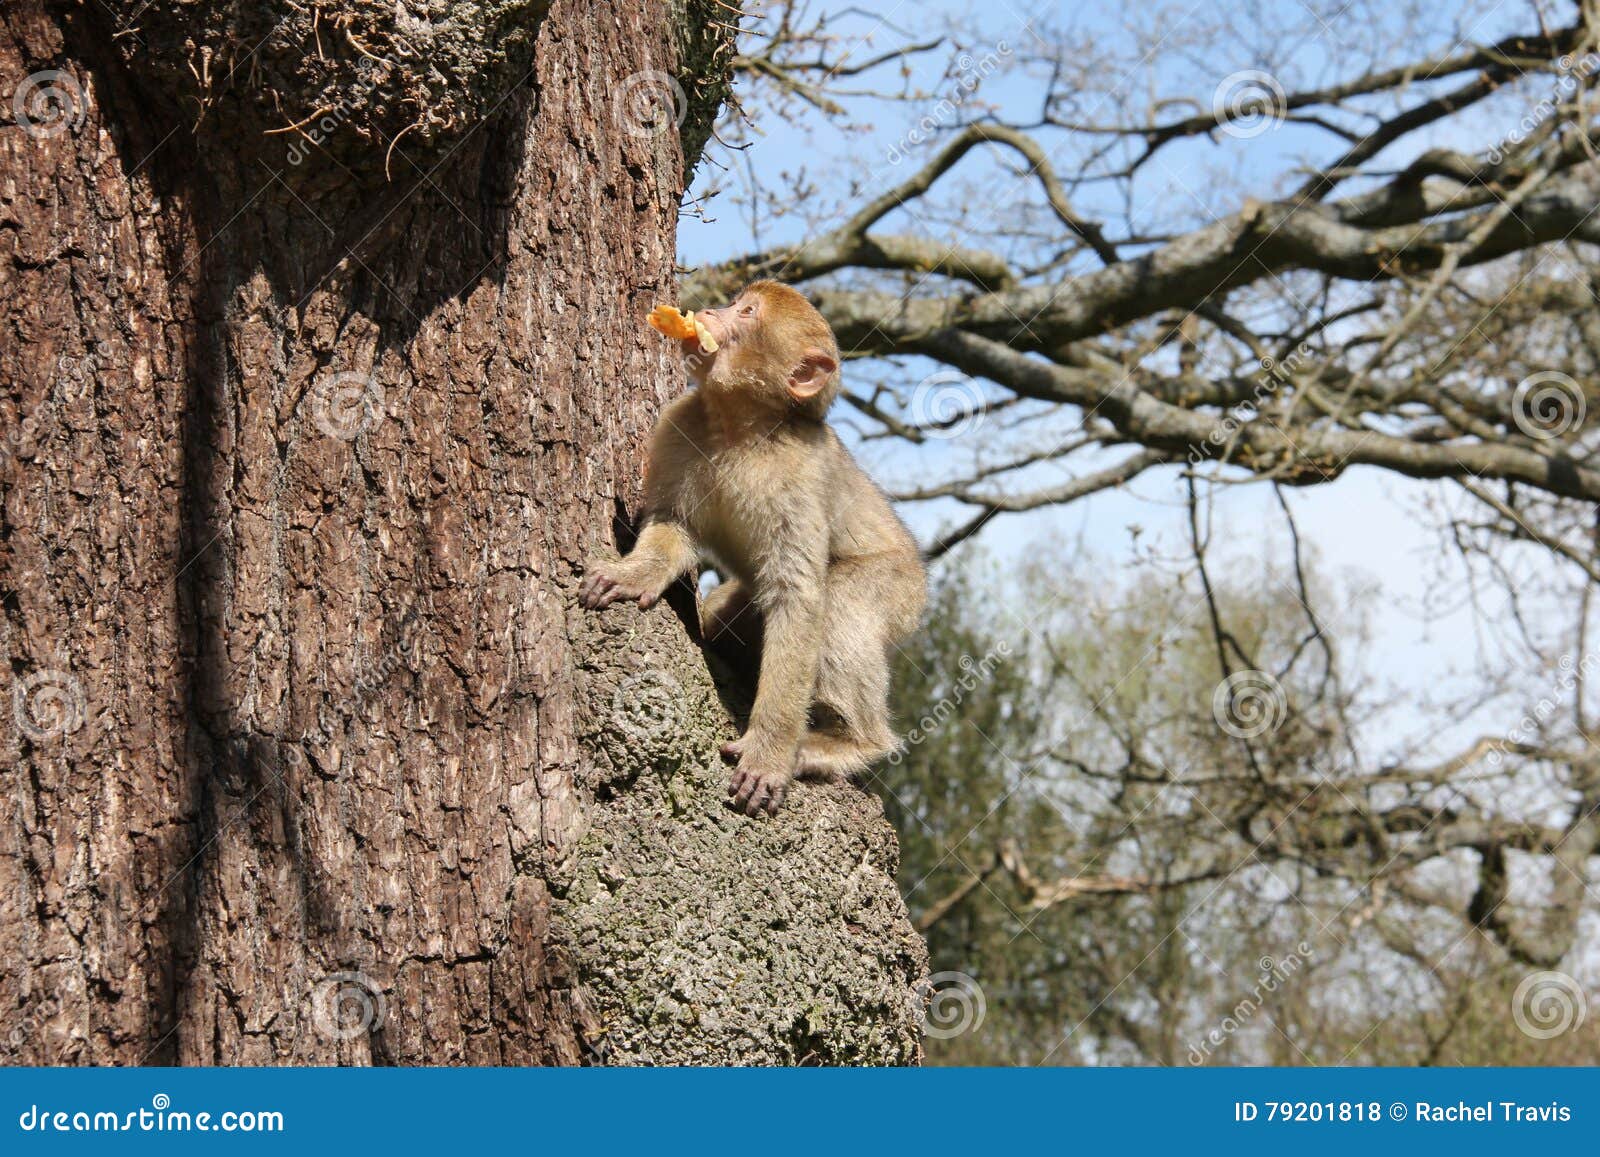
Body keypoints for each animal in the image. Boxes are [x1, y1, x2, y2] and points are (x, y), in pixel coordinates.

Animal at [580, 281, 927, 817]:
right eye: (734, 303)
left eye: (745, 312)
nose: (707, 310)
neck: (742, 426)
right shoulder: (681, 423)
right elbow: (673, 524)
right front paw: (636, 573)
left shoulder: (798, 474)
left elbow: (797, 597)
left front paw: (770, 751)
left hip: (901, 588)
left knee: (843, 603)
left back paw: (854, 743)